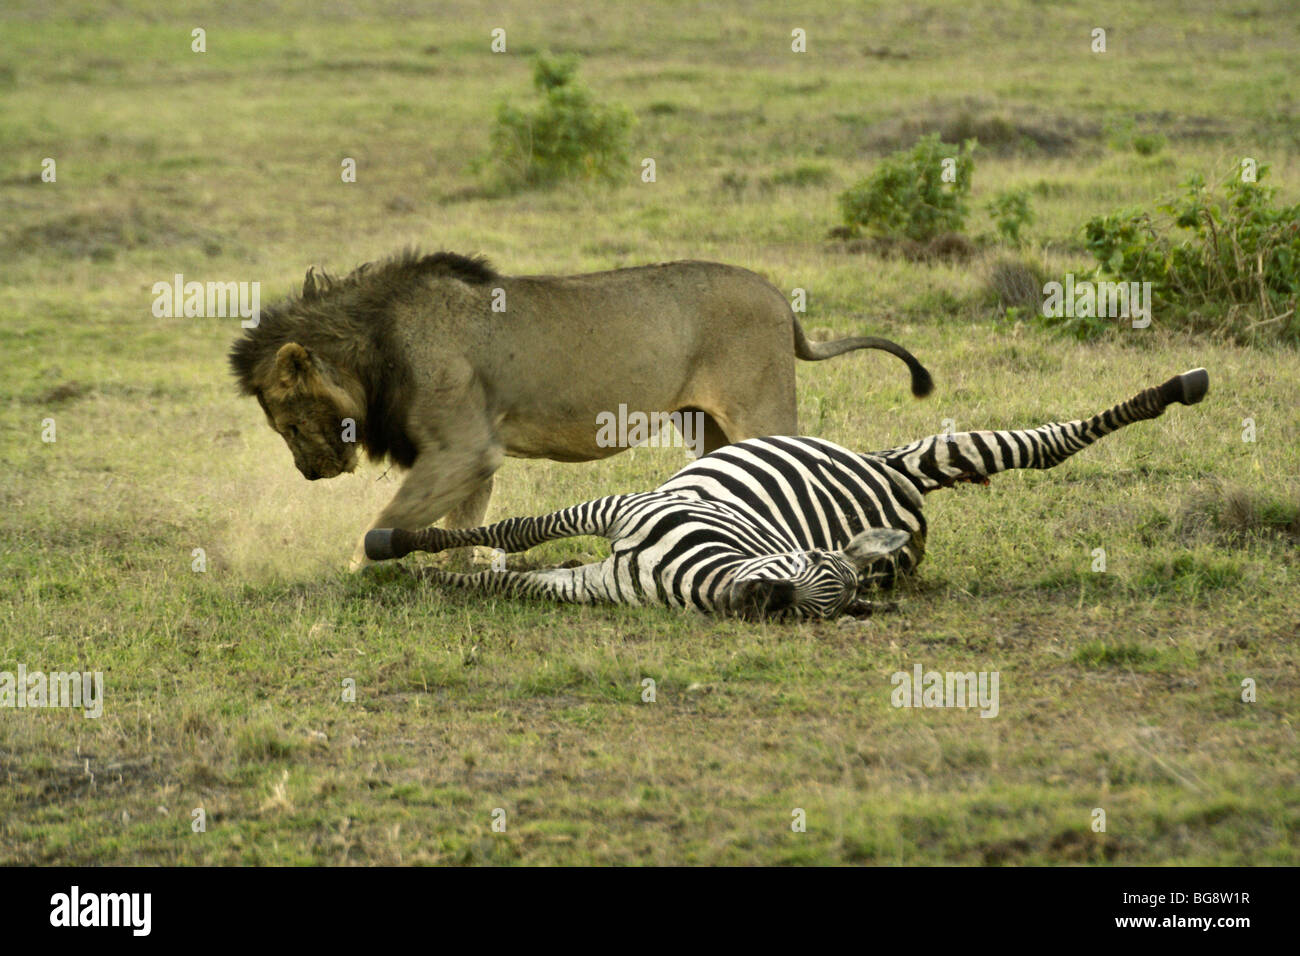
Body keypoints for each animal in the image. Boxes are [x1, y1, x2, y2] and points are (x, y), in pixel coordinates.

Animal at [228, 251, 933, 569]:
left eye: (289, 423)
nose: (309, 473)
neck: (375, 342)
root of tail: (781, 300)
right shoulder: (470, 455)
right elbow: (458, 521)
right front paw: (459, 569)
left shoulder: (462, 449)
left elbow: (388, 519)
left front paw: (354, 574)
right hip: (706, 425)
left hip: (758, 407)